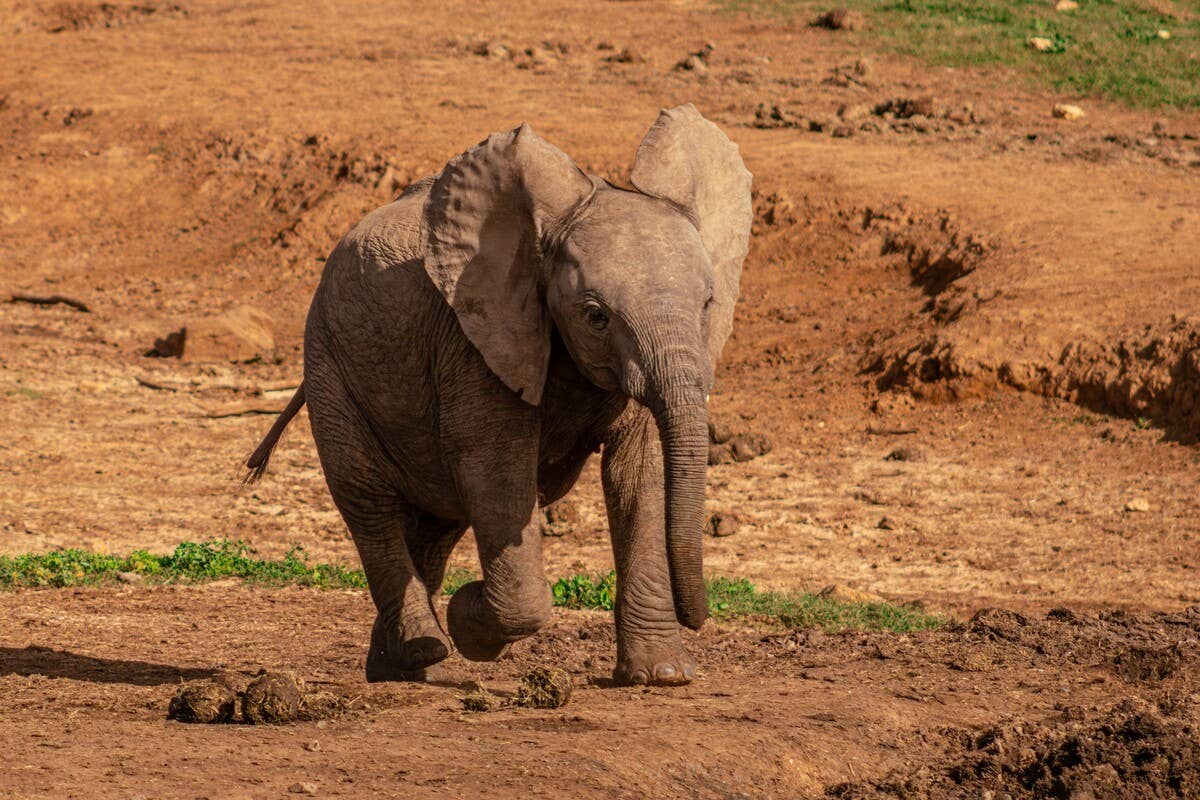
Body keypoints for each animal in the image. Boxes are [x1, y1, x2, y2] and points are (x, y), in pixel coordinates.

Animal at [245, 104, 752, 686]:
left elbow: (641, 471)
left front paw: (663, 675)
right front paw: (470, 616)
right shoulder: (474, 336)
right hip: (328, 363)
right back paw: (425, 649)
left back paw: (395, 666)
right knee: (369, 501)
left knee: (434, 522)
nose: (700, 617)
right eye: (595, 315)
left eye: (708, 304)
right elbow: (497, 468)